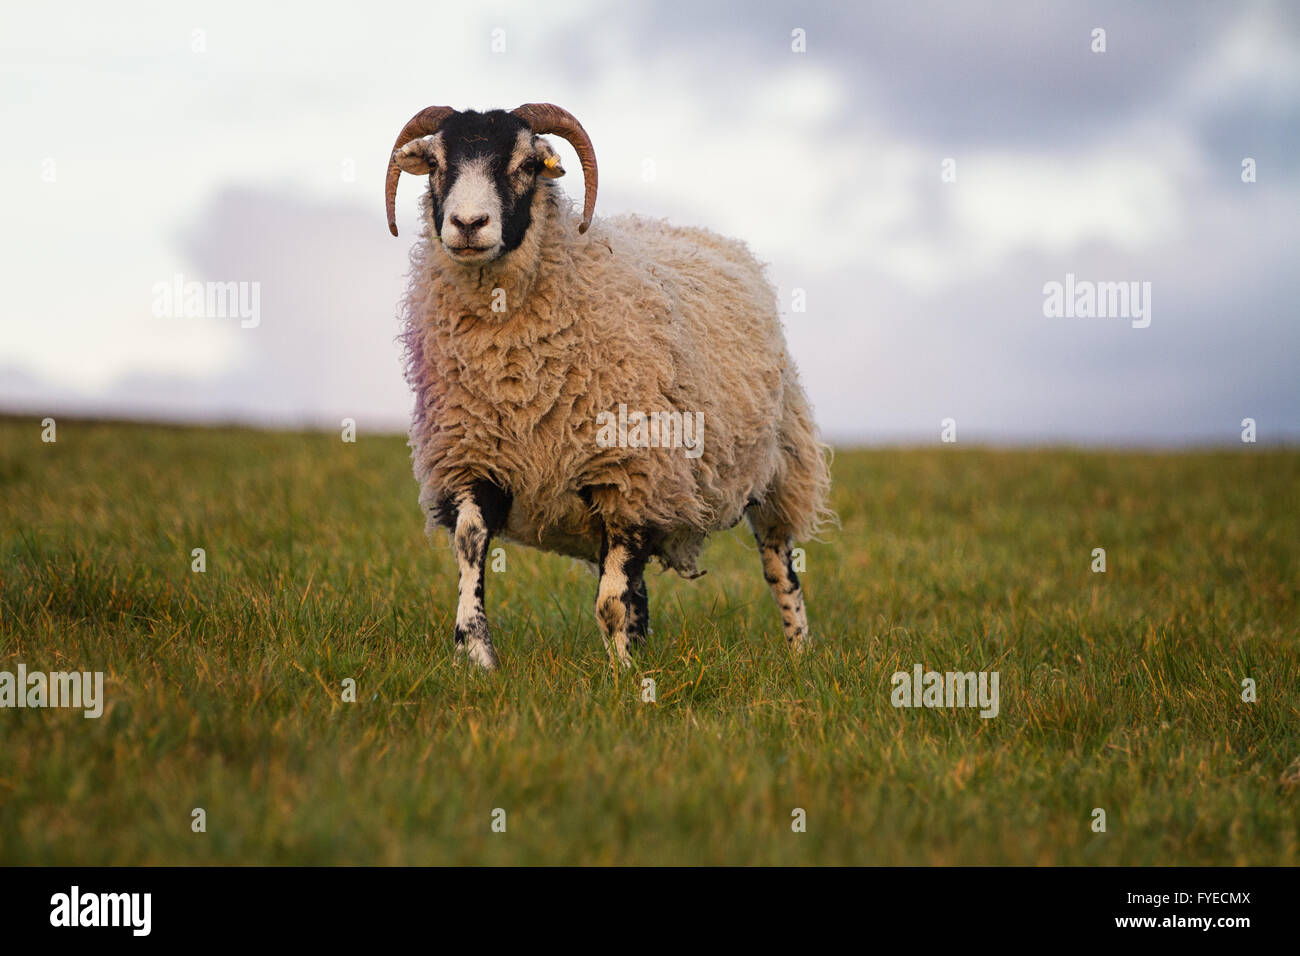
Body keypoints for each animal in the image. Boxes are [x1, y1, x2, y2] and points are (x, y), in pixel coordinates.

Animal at [386, 102, 832, 669]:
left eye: (526, 165)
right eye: (437, 163)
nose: (468, 224)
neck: (513, 371)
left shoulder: (630, 475)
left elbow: (611, 602)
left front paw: (621, 675)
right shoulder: (472, 456)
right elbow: (470, 547)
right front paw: (478, 657)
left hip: (778, 467)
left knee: (779, 564)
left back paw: (799, 650)